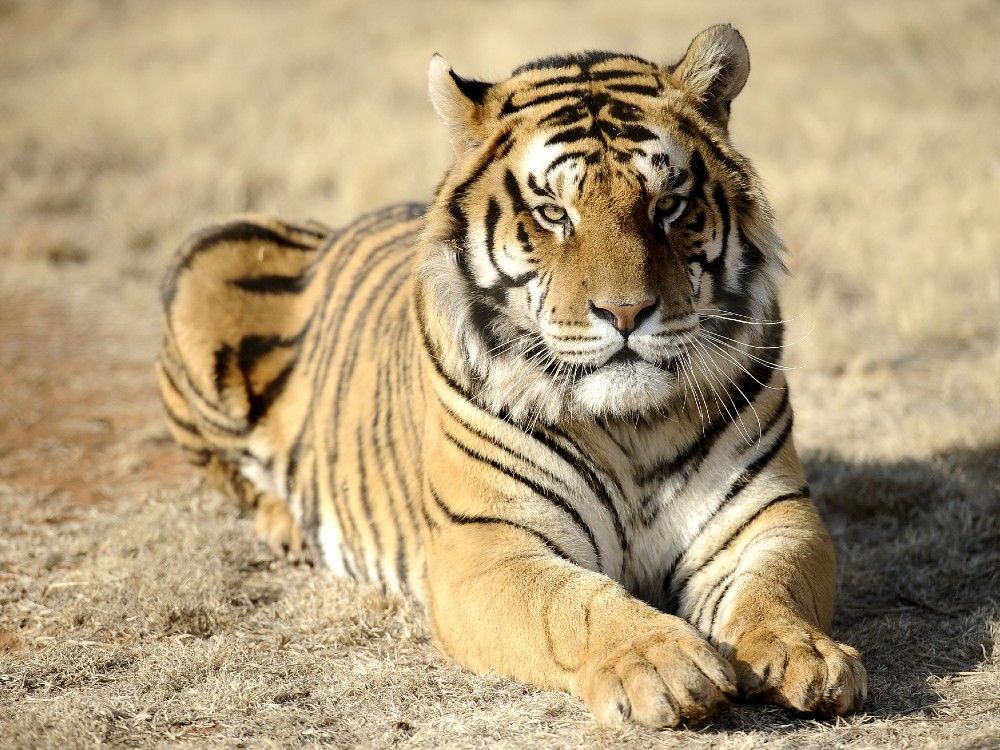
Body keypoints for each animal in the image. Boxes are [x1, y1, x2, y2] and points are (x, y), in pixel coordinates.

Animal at [157, 25, 867, 728]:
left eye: (667, 204)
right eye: (553, 212)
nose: (626, 313)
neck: (632, 426)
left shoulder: (770, 514)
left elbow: (773, 587)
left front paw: (808, 656)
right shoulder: (490, 544)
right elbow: (576, 603)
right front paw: (661, 663)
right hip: (204, 261)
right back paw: (285, 528)